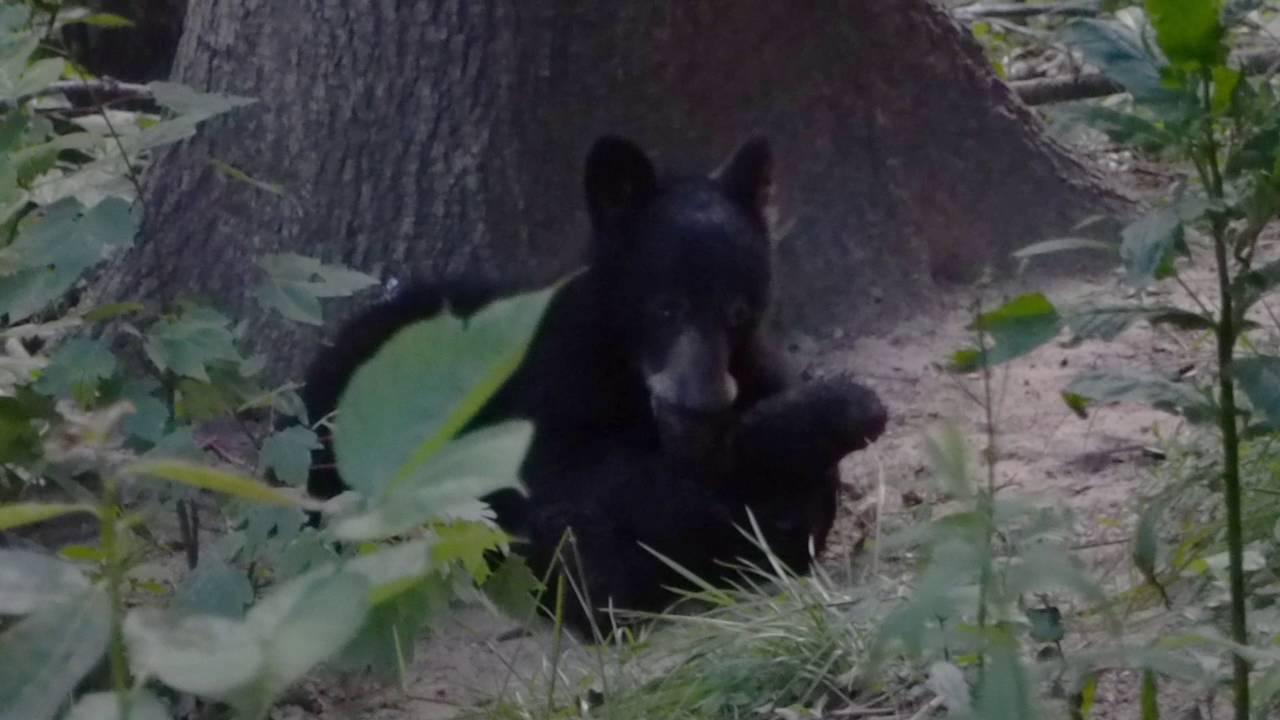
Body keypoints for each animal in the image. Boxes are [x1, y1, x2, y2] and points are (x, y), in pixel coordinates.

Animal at [302, 136, 887, 635]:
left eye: (738, 310)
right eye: (665, 305)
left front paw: (835, 413)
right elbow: (579, 479)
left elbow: (801, 502)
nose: (700, 402)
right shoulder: (554, 384)